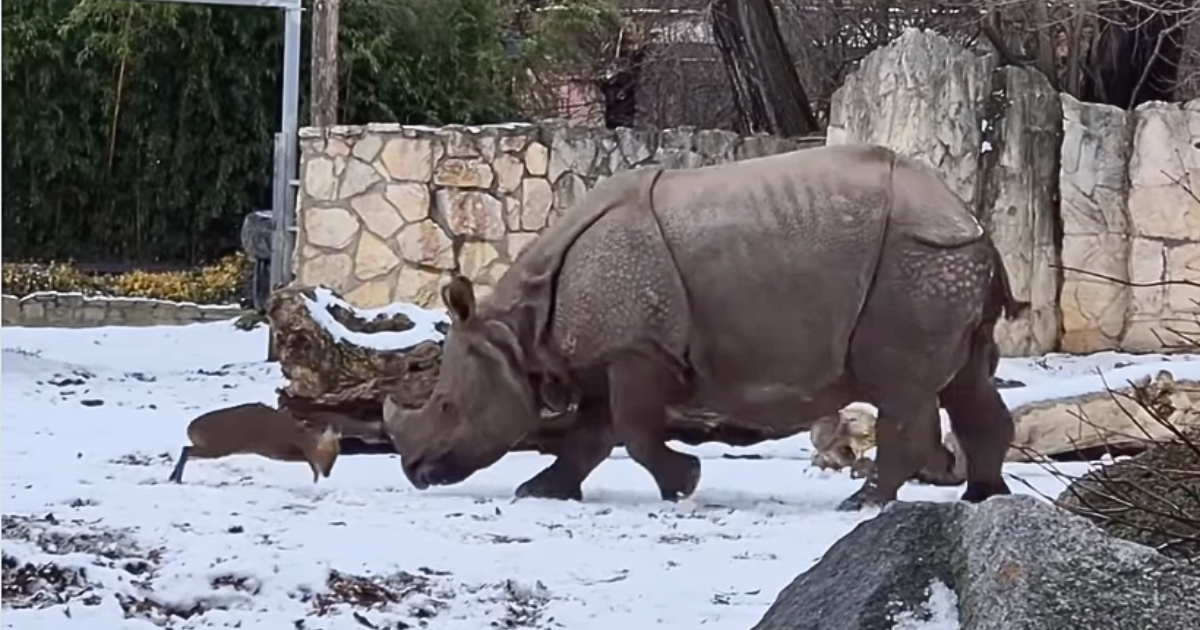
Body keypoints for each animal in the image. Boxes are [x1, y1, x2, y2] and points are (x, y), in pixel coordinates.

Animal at [168, 402, 341, 484]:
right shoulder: (275, 450)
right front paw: (316, 478)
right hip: (216, 447)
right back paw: (177, 478)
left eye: (337, 453)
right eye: (329, 453)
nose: (327, 473)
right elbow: (306, 460)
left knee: (186, 449)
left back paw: (172, 477)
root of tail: (190, 428)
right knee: (187, 450)